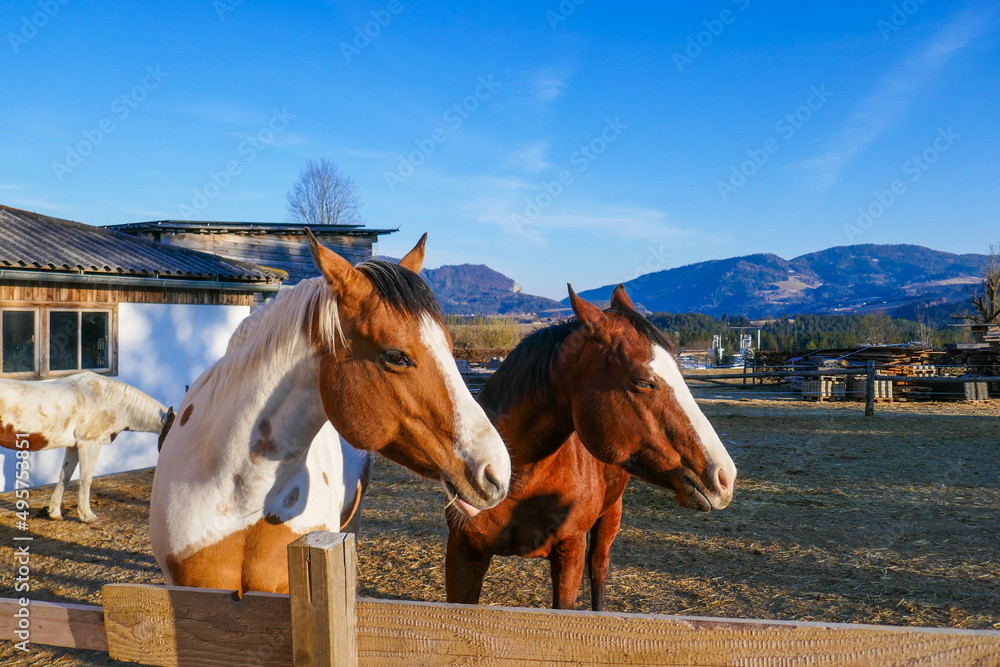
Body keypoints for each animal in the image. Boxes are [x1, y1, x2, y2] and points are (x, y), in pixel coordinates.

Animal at [0, 371, 171, 523]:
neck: (110, 400)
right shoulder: (89, 443)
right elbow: (86, 479)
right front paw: (87, 515)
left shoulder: (74, 446)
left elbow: (65, 476)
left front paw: (55, 512)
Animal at [445, 284, 737, 610]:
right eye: (643, 381)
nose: (724, 476)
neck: (518, 483)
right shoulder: (462, 554)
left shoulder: (570, 549)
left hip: (610, 517)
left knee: (598, 569)